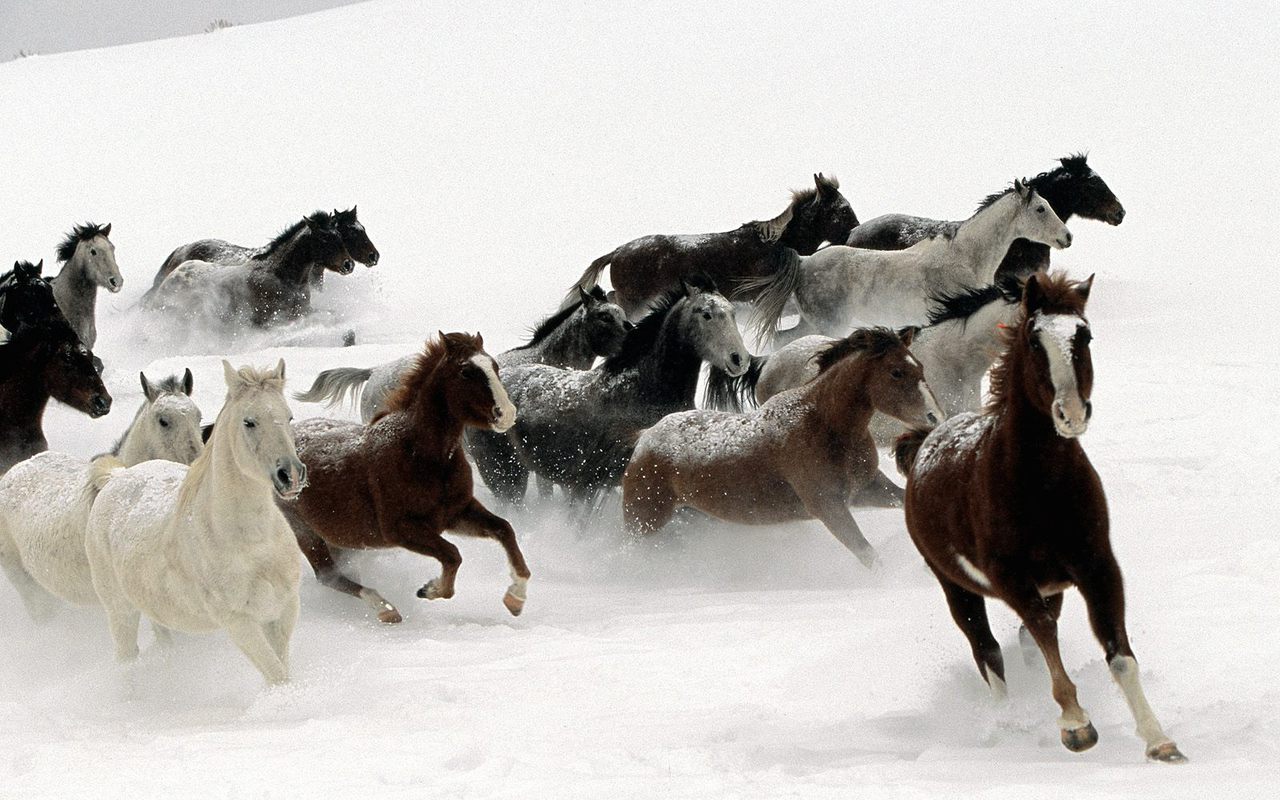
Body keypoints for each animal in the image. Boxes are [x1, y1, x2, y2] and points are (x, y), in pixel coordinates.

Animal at [85, 360, 306, 685]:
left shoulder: (284, 609)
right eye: (249, 422)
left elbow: (282, 668)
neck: (253, 543)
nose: (290, 475)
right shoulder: (239, 622)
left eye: (289, 416)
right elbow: (277, 676)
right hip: (120, 610)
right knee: (126, 657)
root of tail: (116, 477)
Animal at [279, 333, 529, 624]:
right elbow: (453, 555)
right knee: (328, 576)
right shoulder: (401, 529)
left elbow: (504, 529)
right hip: (305, 532)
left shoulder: (457, 513)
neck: (421, 456)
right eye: (466, 371)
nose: (507, 413)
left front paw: (515, 598)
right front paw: (430, 590)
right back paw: (385, 609)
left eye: (494, 366)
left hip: (339, 539)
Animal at [623, 328, 941, 568]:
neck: (825, 424)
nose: (934, 417)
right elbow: (868, 555)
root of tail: (645, 437)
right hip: (644, 521)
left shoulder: (867, 489)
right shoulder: (828, 506)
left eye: (921, 367)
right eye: (896, 372)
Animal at [745, 180, 1070, 341]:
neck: (966, 257)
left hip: (812, 324)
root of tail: (803, 263)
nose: (1067, 237)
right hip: (827, 326)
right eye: (1040, 209)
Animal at [892, 272, 1186, 763]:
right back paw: (1007, 722)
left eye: (1084, 335)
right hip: (955, 586)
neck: (1042, 487)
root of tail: (924, 441)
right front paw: (1076, 725)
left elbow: (1118, 651)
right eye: (1033, 340)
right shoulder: (1011, 578)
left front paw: (1159, 741)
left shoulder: (1097, 567)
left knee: (1023, 643)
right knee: (988, 651)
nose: (1072, 414)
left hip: (1052, 586)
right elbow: (1043, 634)